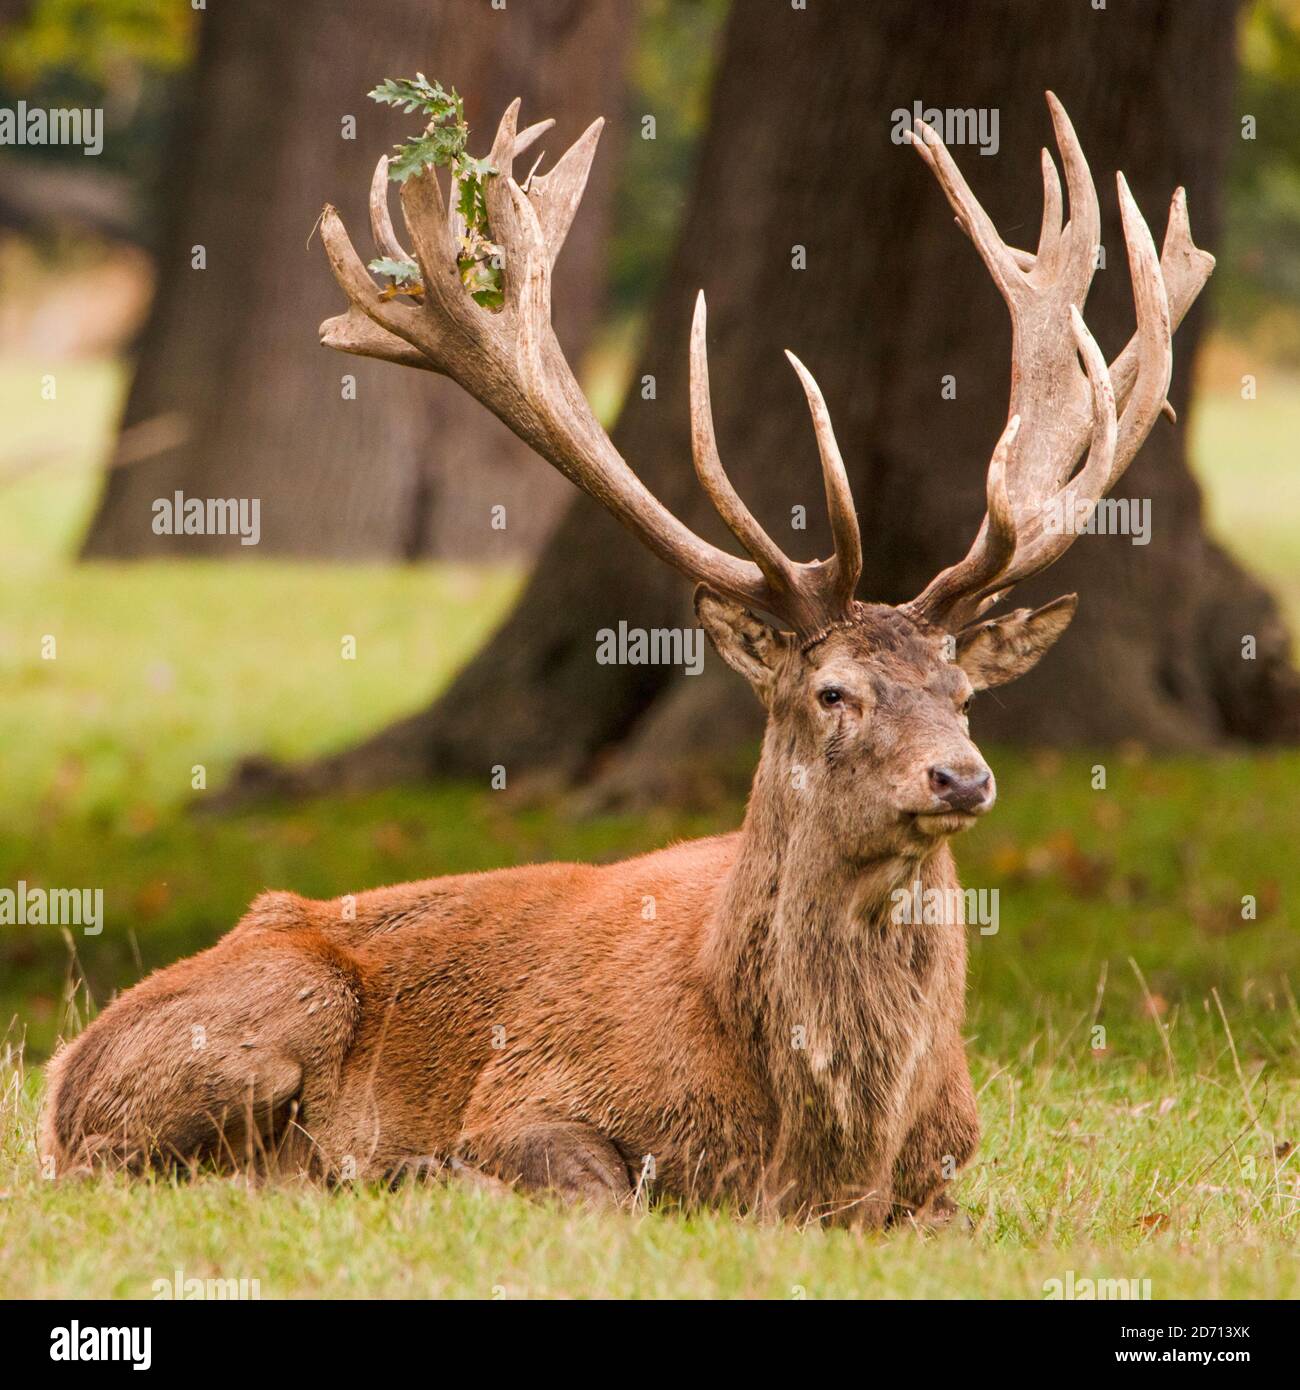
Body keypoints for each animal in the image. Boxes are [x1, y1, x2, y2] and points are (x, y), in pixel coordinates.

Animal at [41, 92, 1213, 1227]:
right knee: (129, 1168)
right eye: (832, 690)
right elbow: (594, 1190)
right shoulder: (535, 1094)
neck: (819, 1159)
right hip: (268, 1009)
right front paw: (429, 1173)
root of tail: (53, 1073)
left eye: (965, 694)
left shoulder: (950, 1169)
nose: (960, 777)